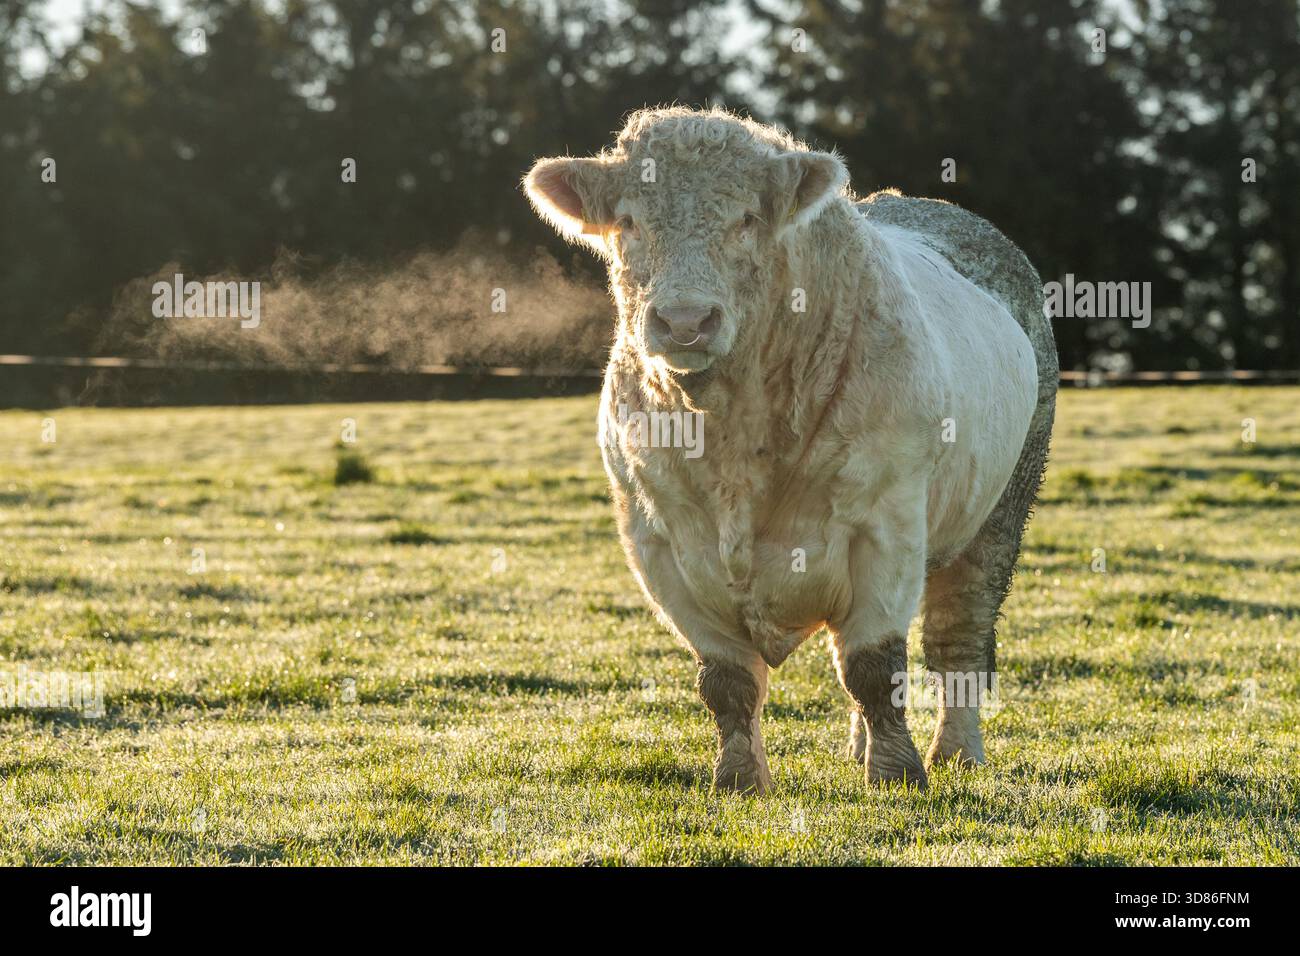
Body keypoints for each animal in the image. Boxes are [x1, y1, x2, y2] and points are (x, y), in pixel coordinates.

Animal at [524, 107, 1057, 793]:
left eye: (747, 219)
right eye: (629, 221)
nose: (685, 322)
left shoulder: (887, 523)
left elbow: (876, 666)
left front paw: (897, 774)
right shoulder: (655, 540)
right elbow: (728, 680)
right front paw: (738, 779)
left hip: (999, 515)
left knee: (956, 639)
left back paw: (955, 752)